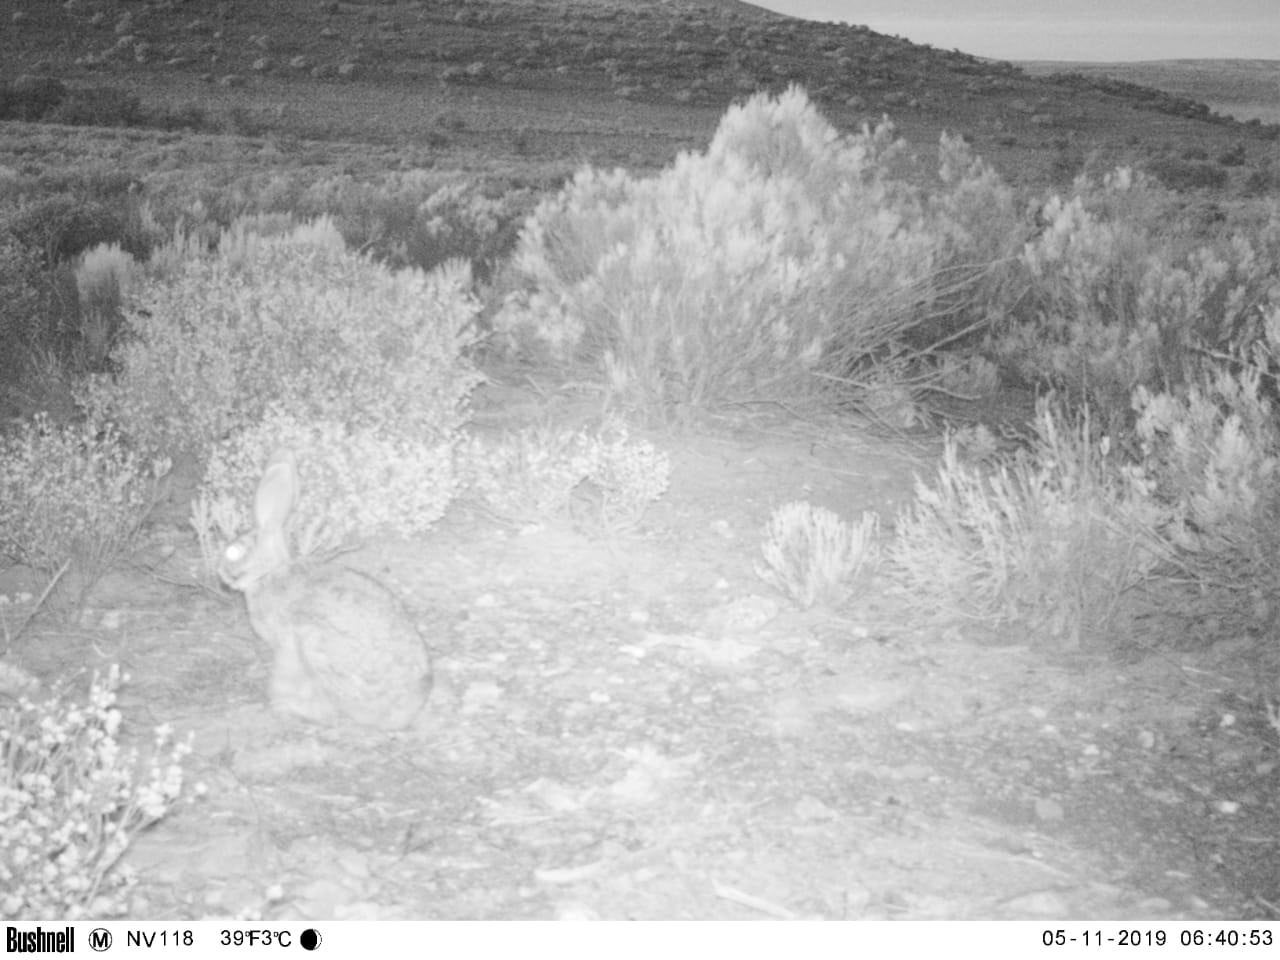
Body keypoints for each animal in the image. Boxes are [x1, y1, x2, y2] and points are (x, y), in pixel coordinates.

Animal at [218, 447, 433, 731]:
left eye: (234, 552)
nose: (221, 573)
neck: (270, 572)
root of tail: (404, 711)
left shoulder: (288, 646)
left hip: (316, 646)